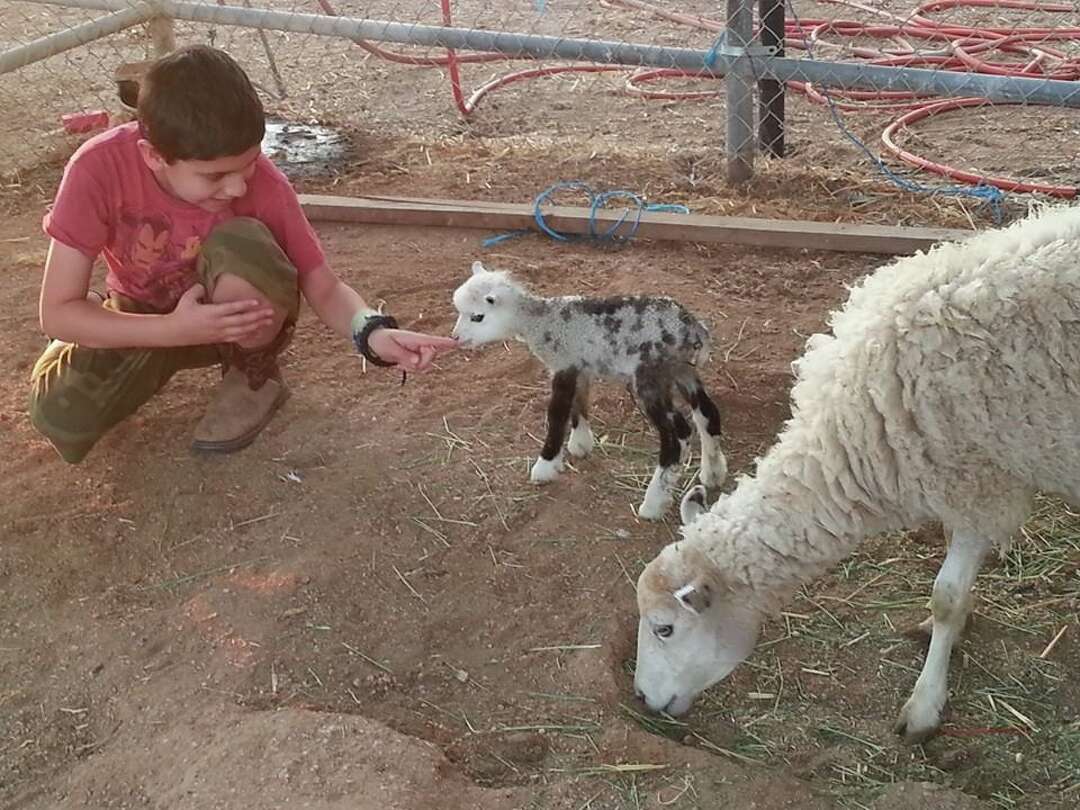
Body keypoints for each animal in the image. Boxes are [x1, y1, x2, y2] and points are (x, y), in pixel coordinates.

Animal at [450, 261, 727, 520]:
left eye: (477, 316)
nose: (455, 338)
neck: (539, 322)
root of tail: (692, 327)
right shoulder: (578, 366)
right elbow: (578, 403)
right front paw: (580, 443)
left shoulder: (563, 364)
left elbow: (556, 414)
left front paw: (545, 466)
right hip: (680, 369)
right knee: (707, 413)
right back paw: (713, 473)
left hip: (650, 375)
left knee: (677, 435)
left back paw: (653, 503)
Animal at [632, 203, 1080, 743]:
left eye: (664, 628)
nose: (641, 698)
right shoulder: (970, 482)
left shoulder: (979, 477)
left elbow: (946, 596)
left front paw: (925, 703)